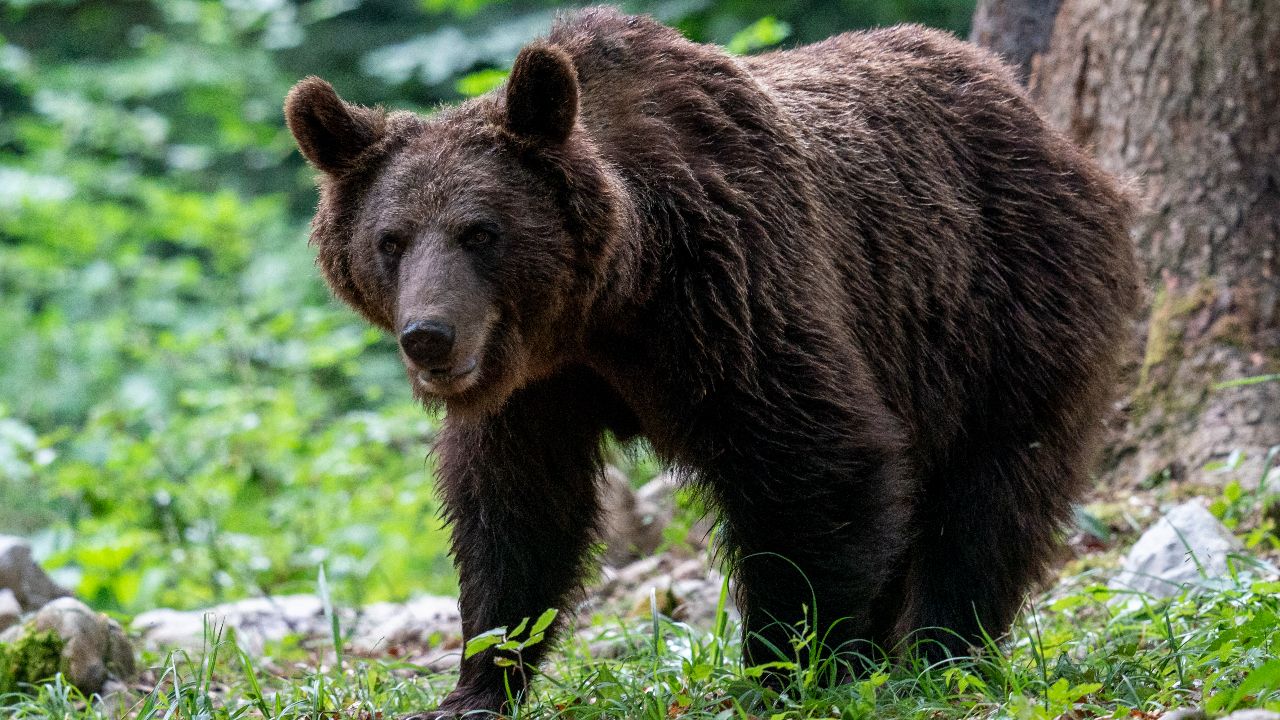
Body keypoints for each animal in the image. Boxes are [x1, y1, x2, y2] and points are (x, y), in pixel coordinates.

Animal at [284, 7, 1138, 717]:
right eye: (391, 240)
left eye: (480, 231)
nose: (428, 335)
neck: (605, 304)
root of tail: (1041, 120)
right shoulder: (536, 387)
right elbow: (516, 512)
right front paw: (477, 684)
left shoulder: (730, 291)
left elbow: (813, 466)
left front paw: (785, 672)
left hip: (1003, 308)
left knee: (991, 495)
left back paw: (942, 654)